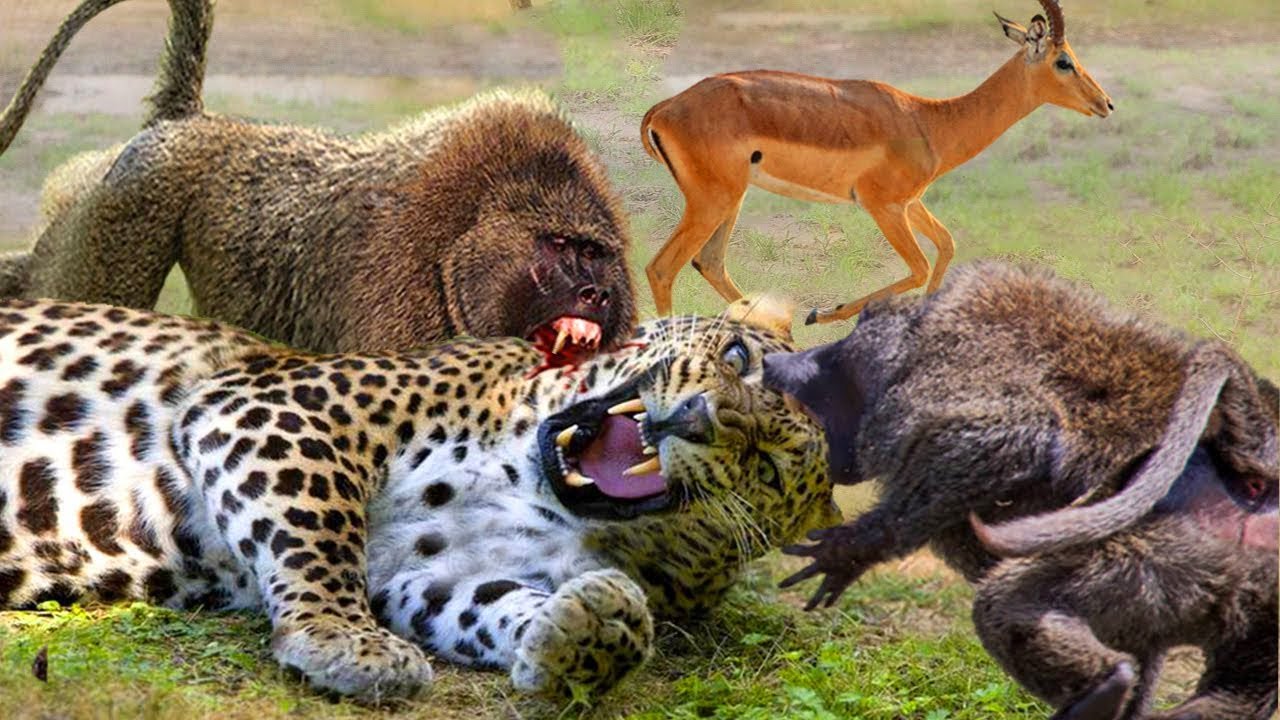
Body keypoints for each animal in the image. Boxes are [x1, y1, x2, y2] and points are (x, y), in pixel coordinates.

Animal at [0, 295, 836, 701]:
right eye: (737, 357)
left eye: (765, 470)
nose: (699, 419)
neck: (532, 490)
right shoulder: (278, 405)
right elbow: (318, 529)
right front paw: (343, 640)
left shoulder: (425, 574)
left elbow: (487, 603)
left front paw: (592, 630)